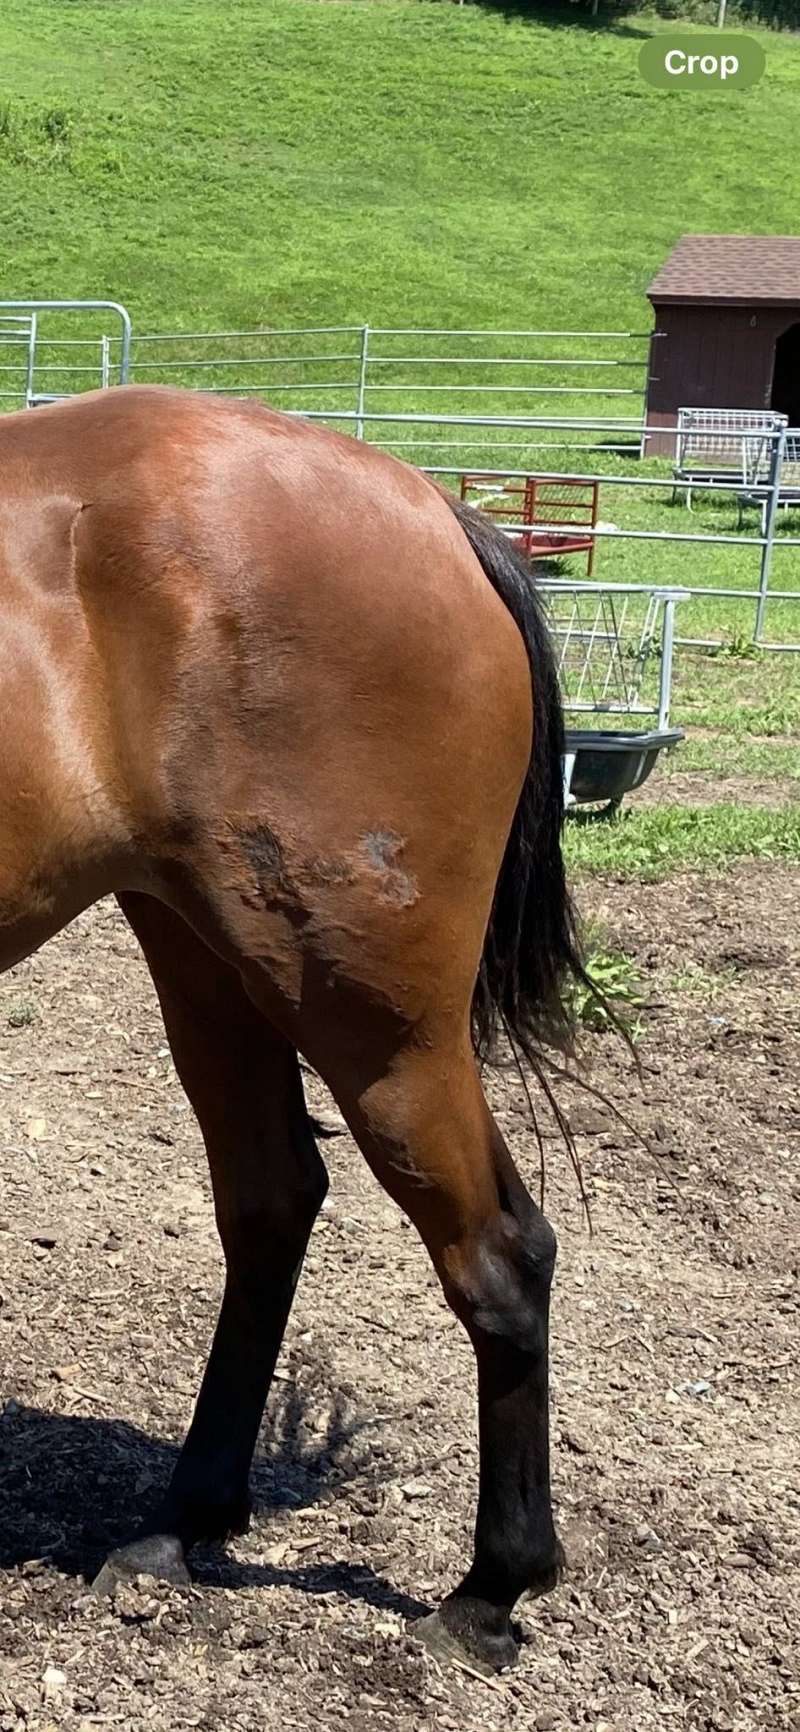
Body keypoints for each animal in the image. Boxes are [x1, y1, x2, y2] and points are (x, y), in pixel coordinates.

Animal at [0, 384, 585, 1675]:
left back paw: (489, 1589)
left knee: (500, 1253)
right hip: (210, 958)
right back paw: (182, 1520)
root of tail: (433, 510)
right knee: (272, 1201)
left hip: (373, 1018)